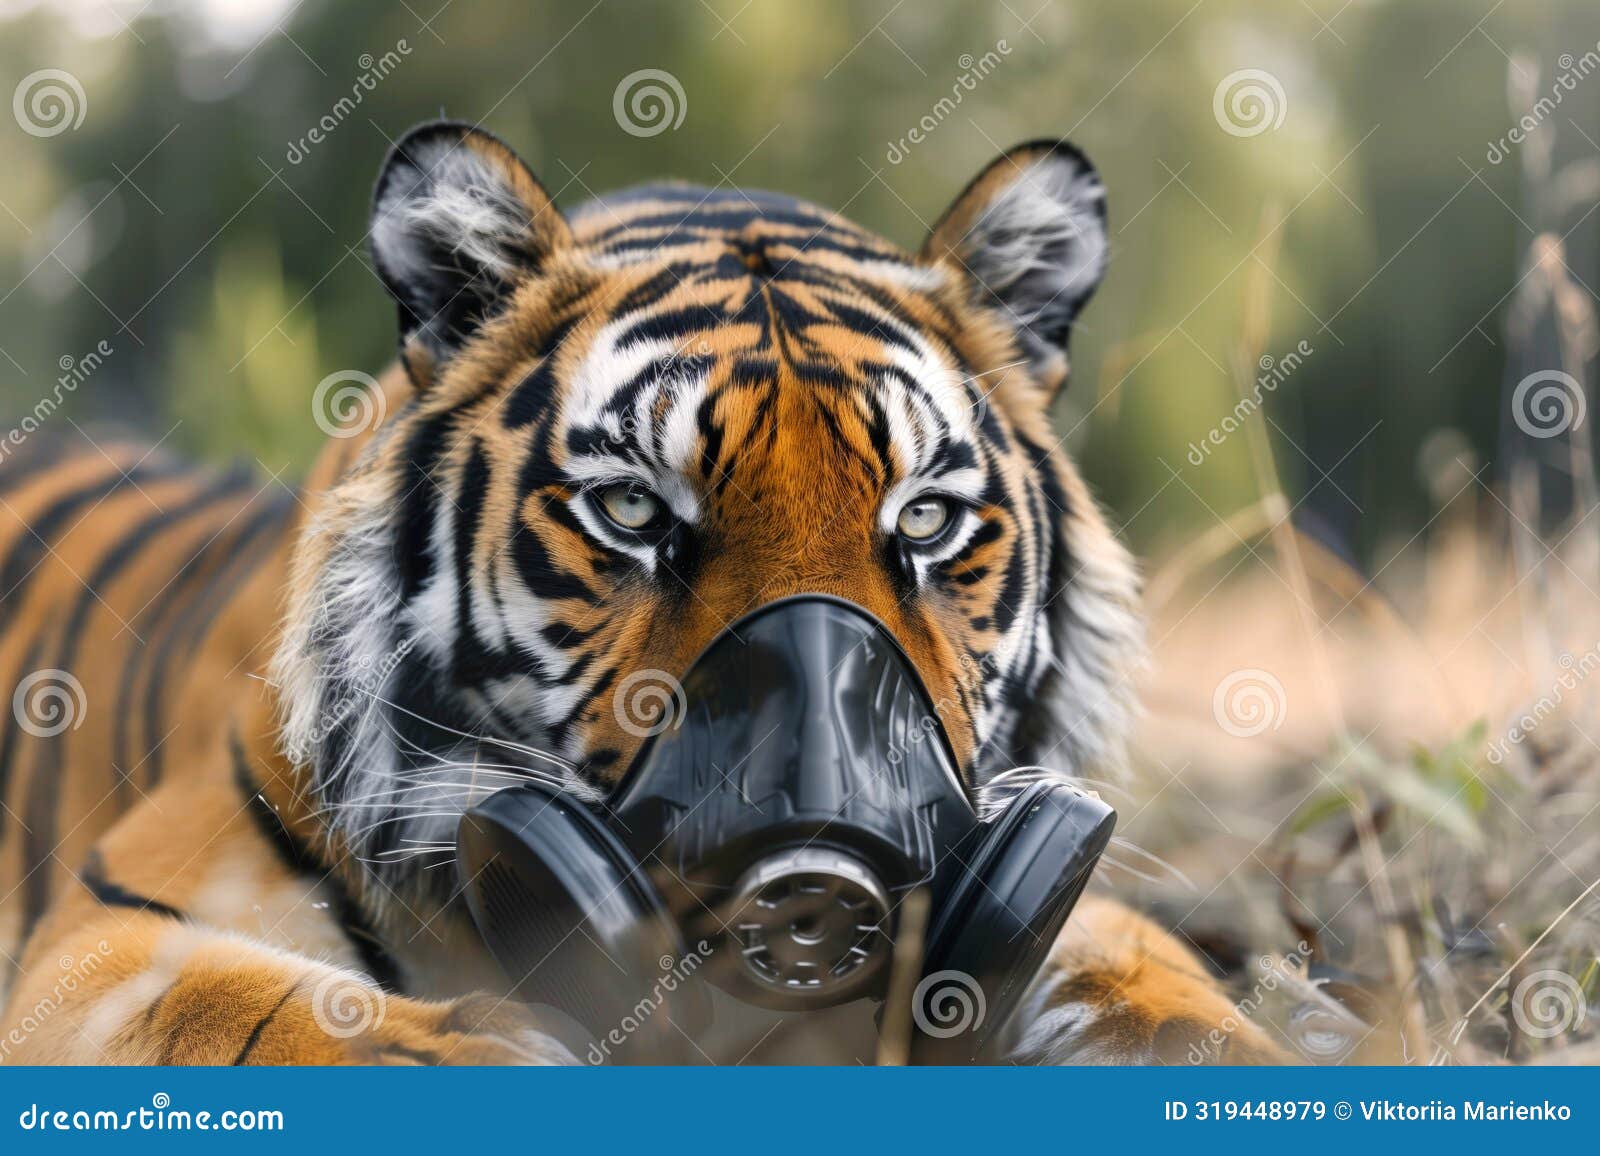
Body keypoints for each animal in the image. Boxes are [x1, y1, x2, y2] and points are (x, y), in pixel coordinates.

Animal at [0, 121, 1279, 1065]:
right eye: (632, 511)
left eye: (922, 519)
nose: (818, 837)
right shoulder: (112, 931)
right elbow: (267, 1009)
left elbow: (1155, 979)